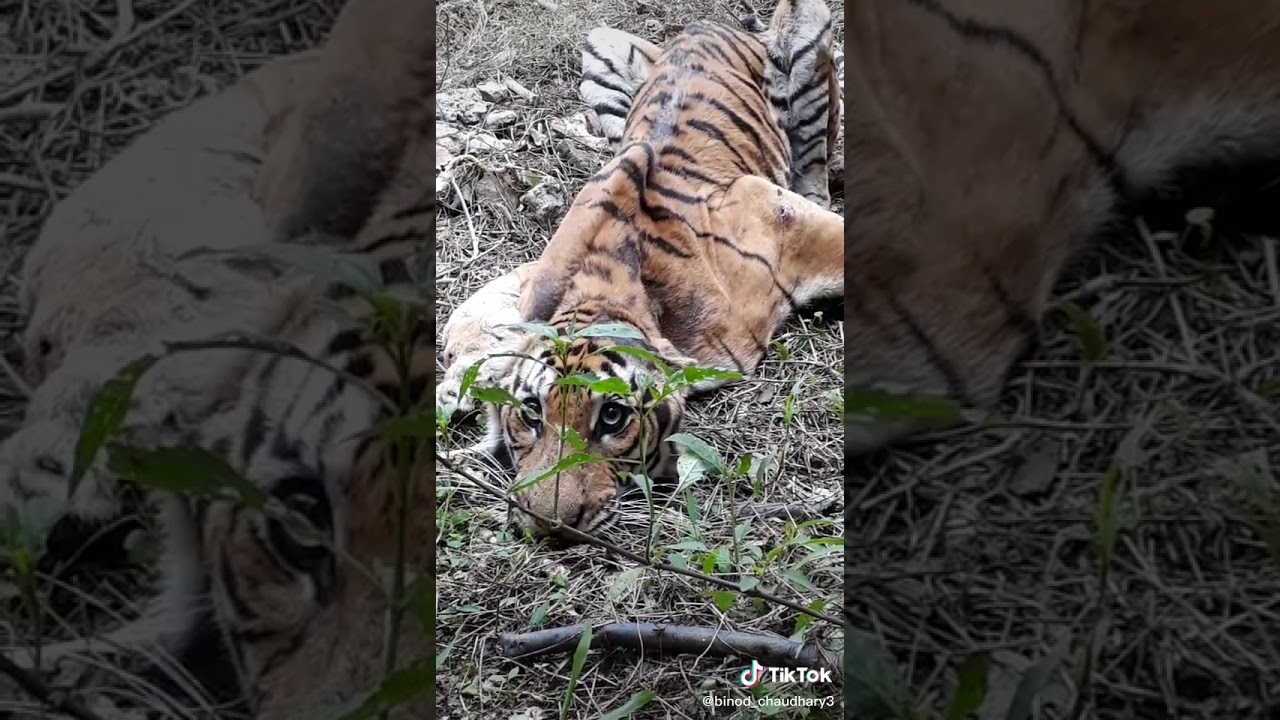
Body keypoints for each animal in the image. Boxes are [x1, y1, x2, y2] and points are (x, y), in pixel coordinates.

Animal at [437, 0, 845, 539]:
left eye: (612, 417)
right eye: (532, 413)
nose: (550, 525)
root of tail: (712, 22)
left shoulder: (778, 212)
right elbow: (470, 314)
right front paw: (461, 381)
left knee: (815, 171)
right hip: (598, 46)